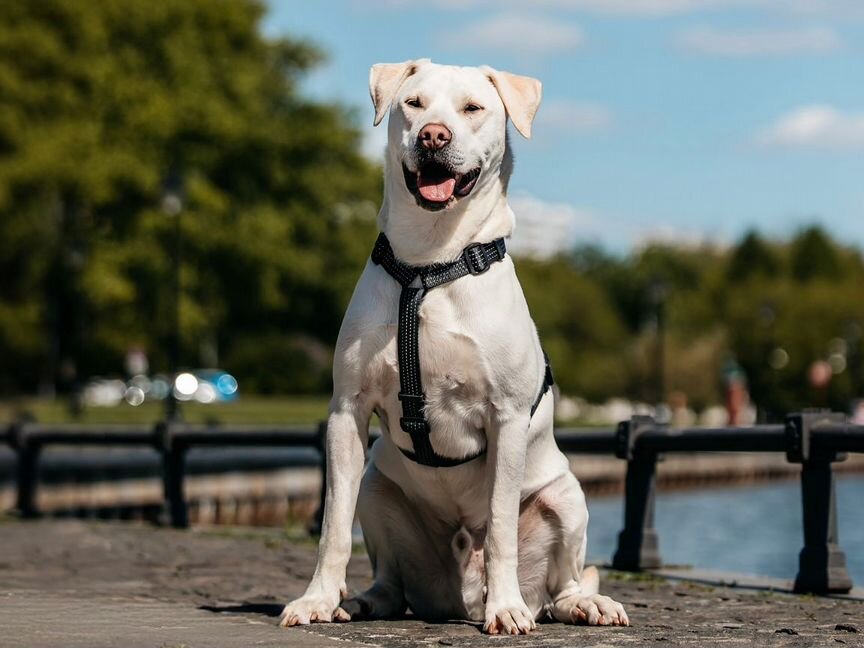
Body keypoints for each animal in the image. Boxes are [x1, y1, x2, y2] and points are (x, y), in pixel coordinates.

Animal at [284, 58, 628, 636]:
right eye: (414, 104)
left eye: (473, 108)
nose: (433, 136)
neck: (431, 260)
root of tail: (458, 598)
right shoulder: (346, 411)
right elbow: (332, 525)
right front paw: (316, 599)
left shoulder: (506, 416)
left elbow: (502, 525)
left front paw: (506, 608)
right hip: (377, 485)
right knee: (391, 582)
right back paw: (360, 602)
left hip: (566, 496)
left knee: (561, 585)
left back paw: (580, 604)